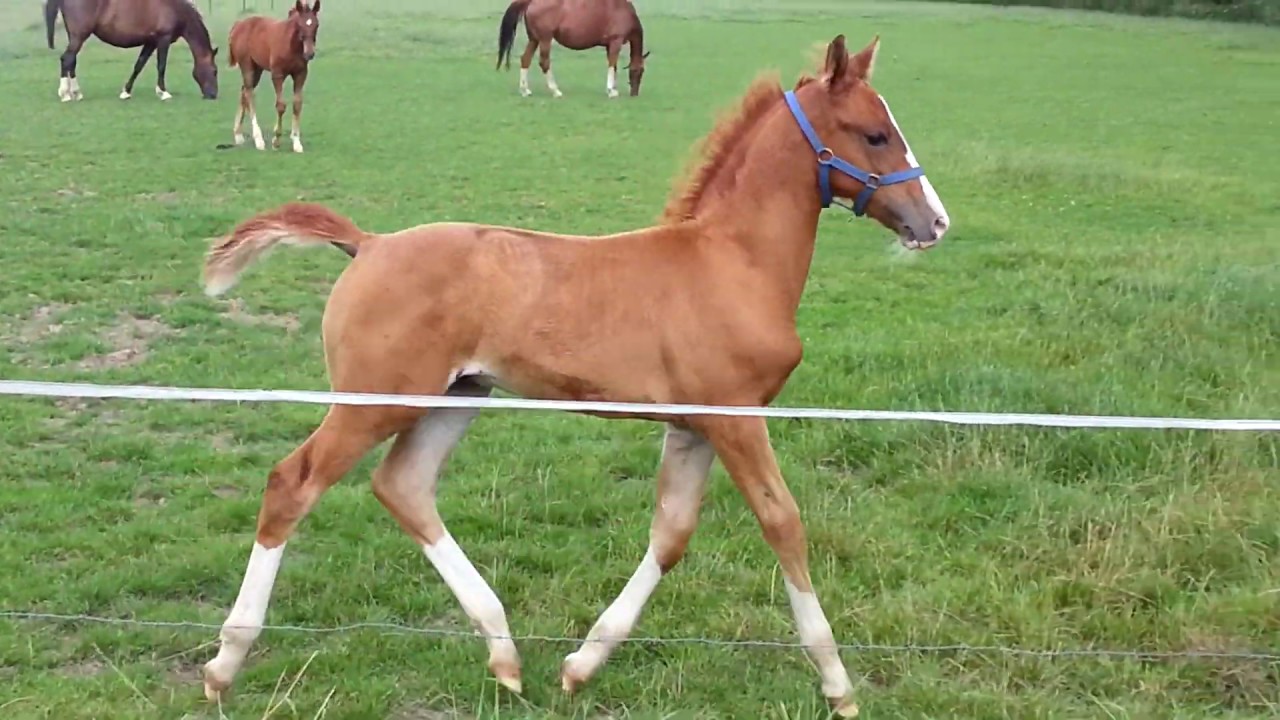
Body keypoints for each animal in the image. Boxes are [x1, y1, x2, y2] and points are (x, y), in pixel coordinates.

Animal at [44, 0, 218, 102]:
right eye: (215, 71)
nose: (213, 95)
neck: (174, 8)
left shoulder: (150, 42)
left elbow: (139, 65)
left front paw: (126, 92)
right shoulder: (163, 39)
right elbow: (161, 66)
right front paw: (163, 92)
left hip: (76, 37)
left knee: (71, 61)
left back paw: (76, 93)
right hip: (79, 36)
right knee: (67, 59)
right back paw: (65, 94)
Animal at [197, 33, 949, 716]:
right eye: (876, 135)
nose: (934, 222)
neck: (730, 261)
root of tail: (369, 244)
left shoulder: (694, 427)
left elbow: (672, 535)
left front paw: (581, 665)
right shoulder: (737, 421)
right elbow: (783, 523)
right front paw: (839, 684)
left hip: (457, 396)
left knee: (403, 486)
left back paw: (504, 655)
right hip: (374, 400)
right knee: (292, 484)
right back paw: (225, 662)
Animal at [225, 0, 320, 153]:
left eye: (316, 25)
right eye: (300, 25)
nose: (309, 54)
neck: (291, 45)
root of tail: (238, 25)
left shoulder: (300, 75)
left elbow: (297, 104)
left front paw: (296, 142)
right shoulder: (277, 75)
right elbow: (280, 105)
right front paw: (276, 141)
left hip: (257, 69)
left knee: (244, 91)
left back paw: (238, 135)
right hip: (247, 66)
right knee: (249, 93)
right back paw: (258, 140)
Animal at [496, 0, 648, 98]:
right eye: (640, 71)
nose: (634, 93)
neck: (622, 10)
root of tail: (530, 2)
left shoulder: (609, 45)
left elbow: (614, 66)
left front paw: (613, 90)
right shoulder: (615, 42)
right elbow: (612, 65)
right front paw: (611, 91)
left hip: (534, 40)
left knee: (525, 59)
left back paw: (525, 91)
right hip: (545, 39)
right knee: (544, 62)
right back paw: (556, 91)